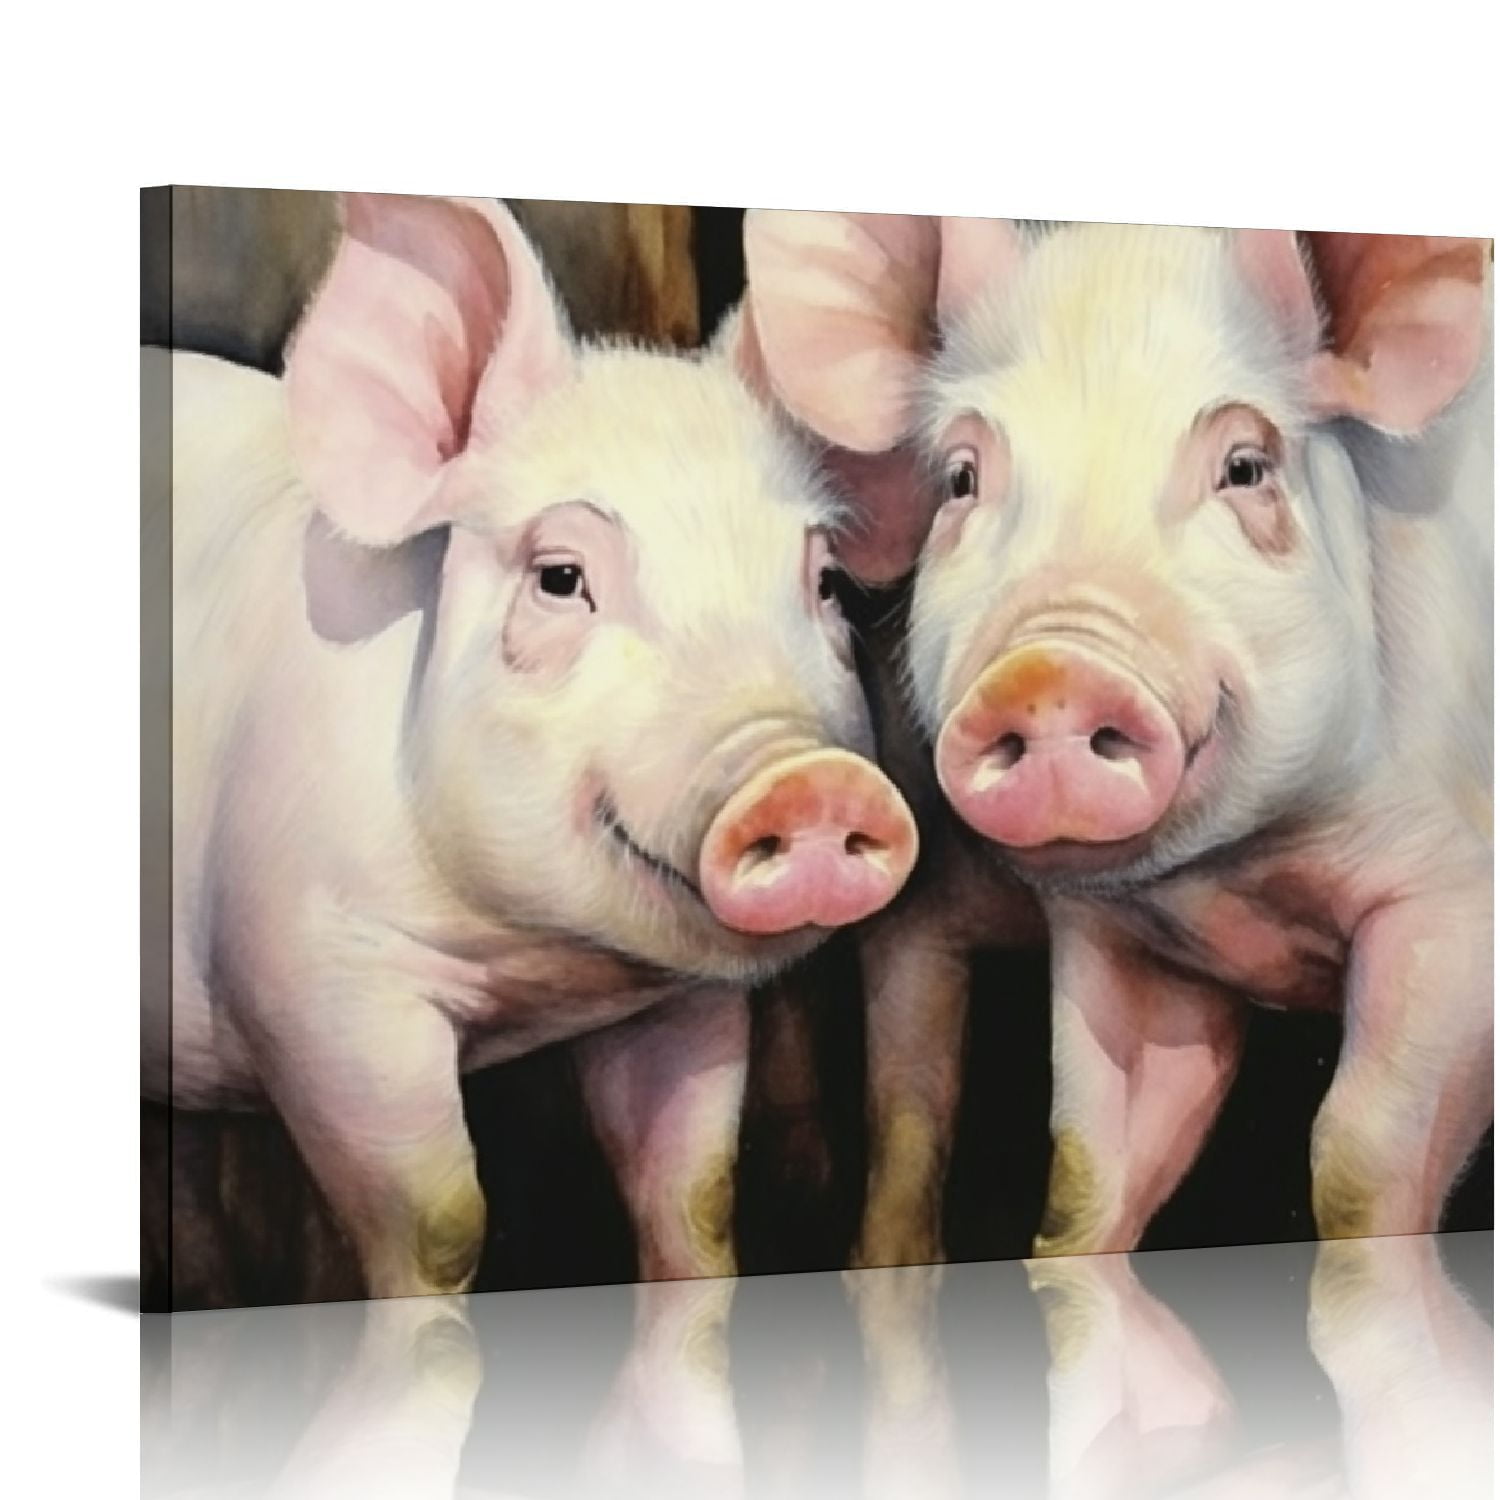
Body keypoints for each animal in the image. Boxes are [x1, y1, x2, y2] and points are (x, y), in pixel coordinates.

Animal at [142, 191, 921, 1301]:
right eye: (560, 577)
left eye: (821, 583)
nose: (807, 777)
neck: (531, 970)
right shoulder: (312, 978)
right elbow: (437, 1221)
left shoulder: (679, 1004)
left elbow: (693, 1196)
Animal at [743, 212, 1492, 1254]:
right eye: (963, 479)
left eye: (1245, 468)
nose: (1047, 672)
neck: (1244, 874)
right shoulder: (1102, 931)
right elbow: (1087, 1164)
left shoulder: (1453, 900)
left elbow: (1362, 1150)